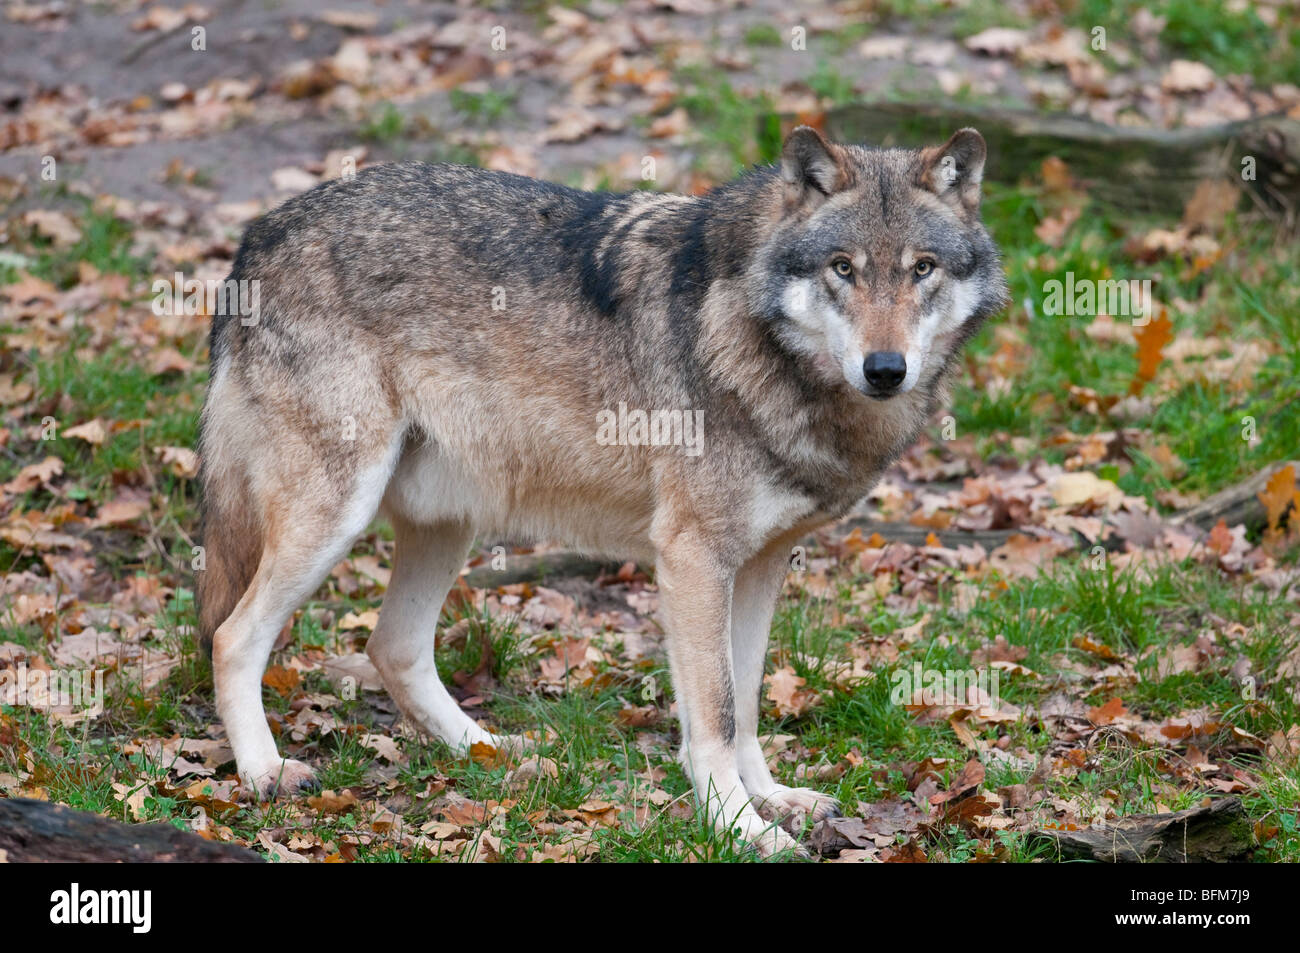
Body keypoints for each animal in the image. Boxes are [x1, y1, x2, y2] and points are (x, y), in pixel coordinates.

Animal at [197, 125, 1008, 857]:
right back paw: (266, 772)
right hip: (337, 513)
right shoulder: (691, 558)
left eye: (922, 269)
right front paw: (738, 826)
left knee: (392, 646)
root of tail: (260, 232)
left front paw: (771, 798)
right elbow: (714, 712)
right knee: (234, 635)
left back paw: (488, 750)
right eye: (843, 268)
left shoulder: (761, 562)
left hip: (448, 518)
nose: (885, 368)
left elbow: (746, 699)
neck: (757, 338)